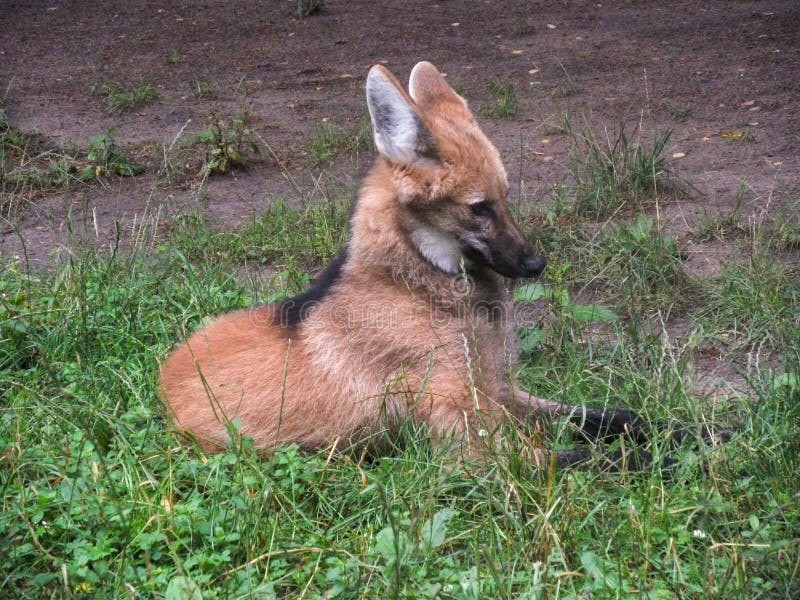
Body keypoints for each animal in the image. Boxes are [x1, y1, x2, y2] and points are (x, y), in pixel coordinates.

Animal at [159, 61, 644, 465]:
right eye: (479, 208)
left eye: (506, 198)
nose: (535, 264)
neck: (425, 283)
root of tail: (163, 380)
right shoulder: (472, 444)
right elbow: (600, 459)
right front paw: (658, 460)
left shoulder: (501, 391)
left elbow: (614, 417)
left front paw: (659, 428)